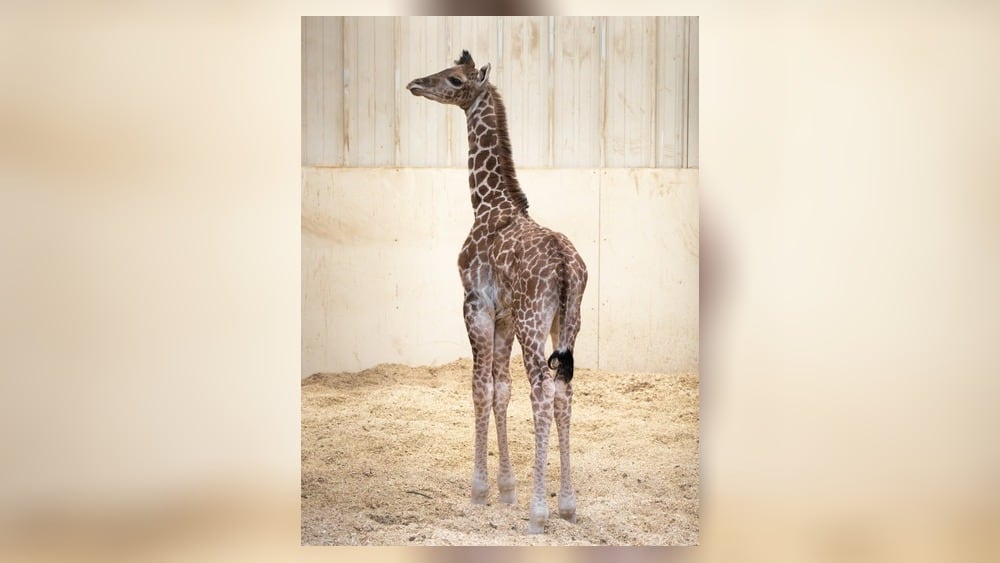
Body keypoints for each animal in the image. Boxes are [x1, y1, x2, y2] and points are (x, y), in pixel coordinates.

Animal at [407, 50, 588, 534]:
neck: (487, 204)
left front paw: (480, 490)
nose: (415, 84)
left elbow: (479, 388)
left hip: (533, 321)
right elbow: (501, 389)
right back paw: (566, 505)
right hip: (568, 323)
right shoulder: (503, 314)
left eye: (455, 79)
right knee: (563, 392)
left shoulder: (476, 304)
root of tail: (567, 268)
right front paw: (506, 489)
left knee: (542, 391)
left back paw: (539, 514)